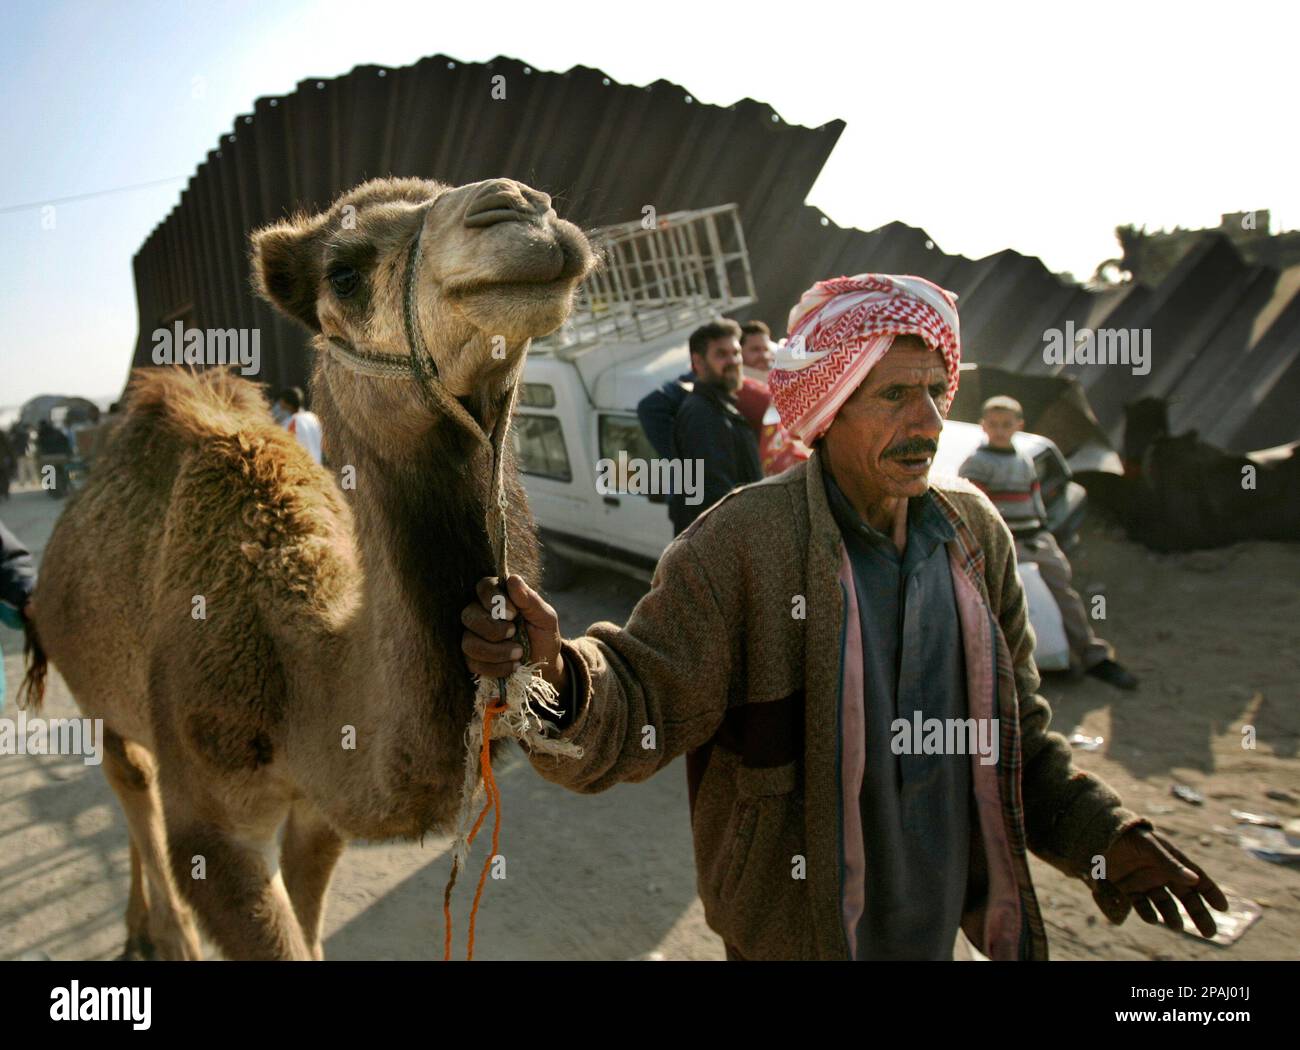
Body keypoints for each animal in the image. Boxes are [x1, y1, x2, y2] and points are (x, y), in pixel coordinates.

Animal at [25, 176, 595, 960]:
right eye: (344, 273)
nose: (521, 209)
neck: (302, 670)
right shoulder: (213, 830)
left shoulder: (322, 811)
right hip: (97, 691)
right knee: (130, 779)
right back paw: (160, 934)